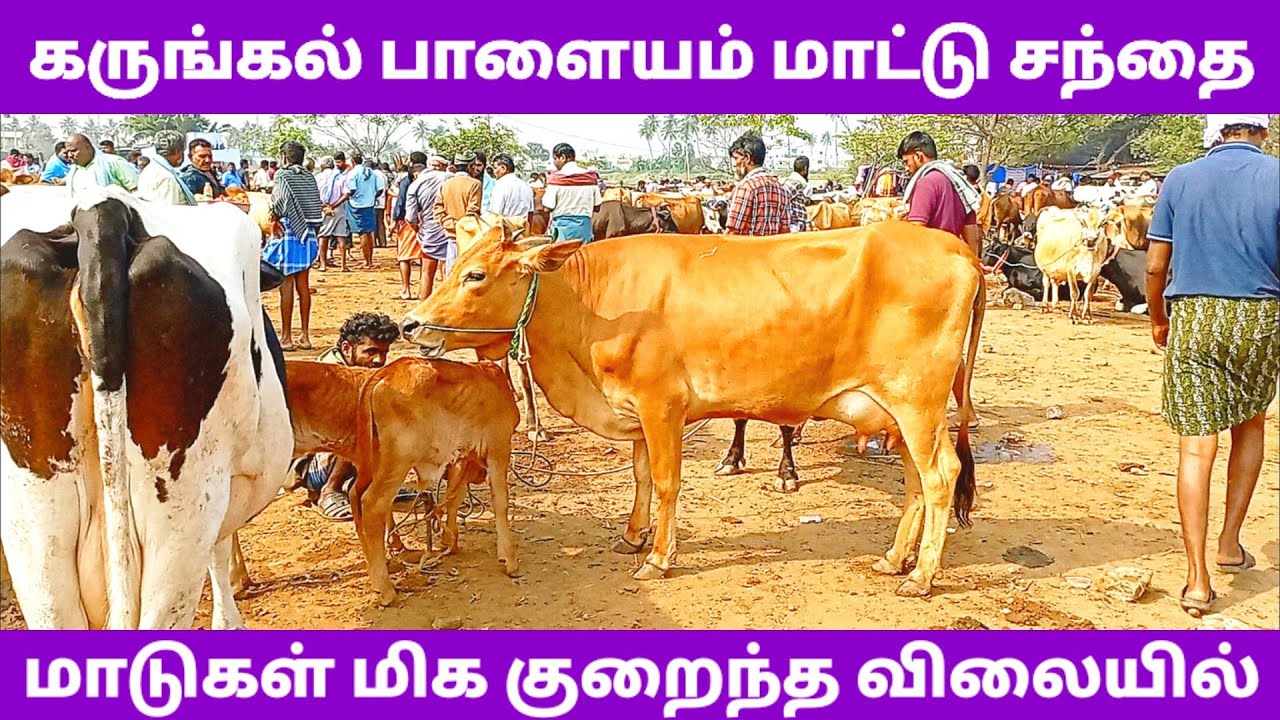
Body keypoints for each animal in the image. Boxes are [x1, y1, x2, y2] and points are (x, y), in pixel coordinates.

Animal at [282, 358, 520, 605]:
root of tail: (385, 372)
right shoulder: (498, 446)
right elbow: (500, 502)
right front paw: (509, 559)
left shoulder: (462, 458)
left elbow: (453, 499)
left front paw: (450, 541)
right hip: (399, 460)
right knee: (372, 503)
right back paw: (386, 590)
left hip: (375, 462)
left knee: (356, 495)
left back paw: (378, 572)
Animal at [400, 221, 984, 597]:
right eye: (454, 266)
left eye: (476, 275)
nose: (410, 324)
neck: (588, 306)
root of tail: (960, 251)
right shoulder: (636, 414)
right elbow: (639, 477)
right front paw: (631, 537)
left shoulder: (663, 405)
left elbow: (664, 482)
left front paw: (658, 558)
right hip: (901, 413)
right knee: (916, 483)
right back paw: (894, 559)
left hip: (918, 404)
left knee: (940, 476)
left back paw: (922, 576)